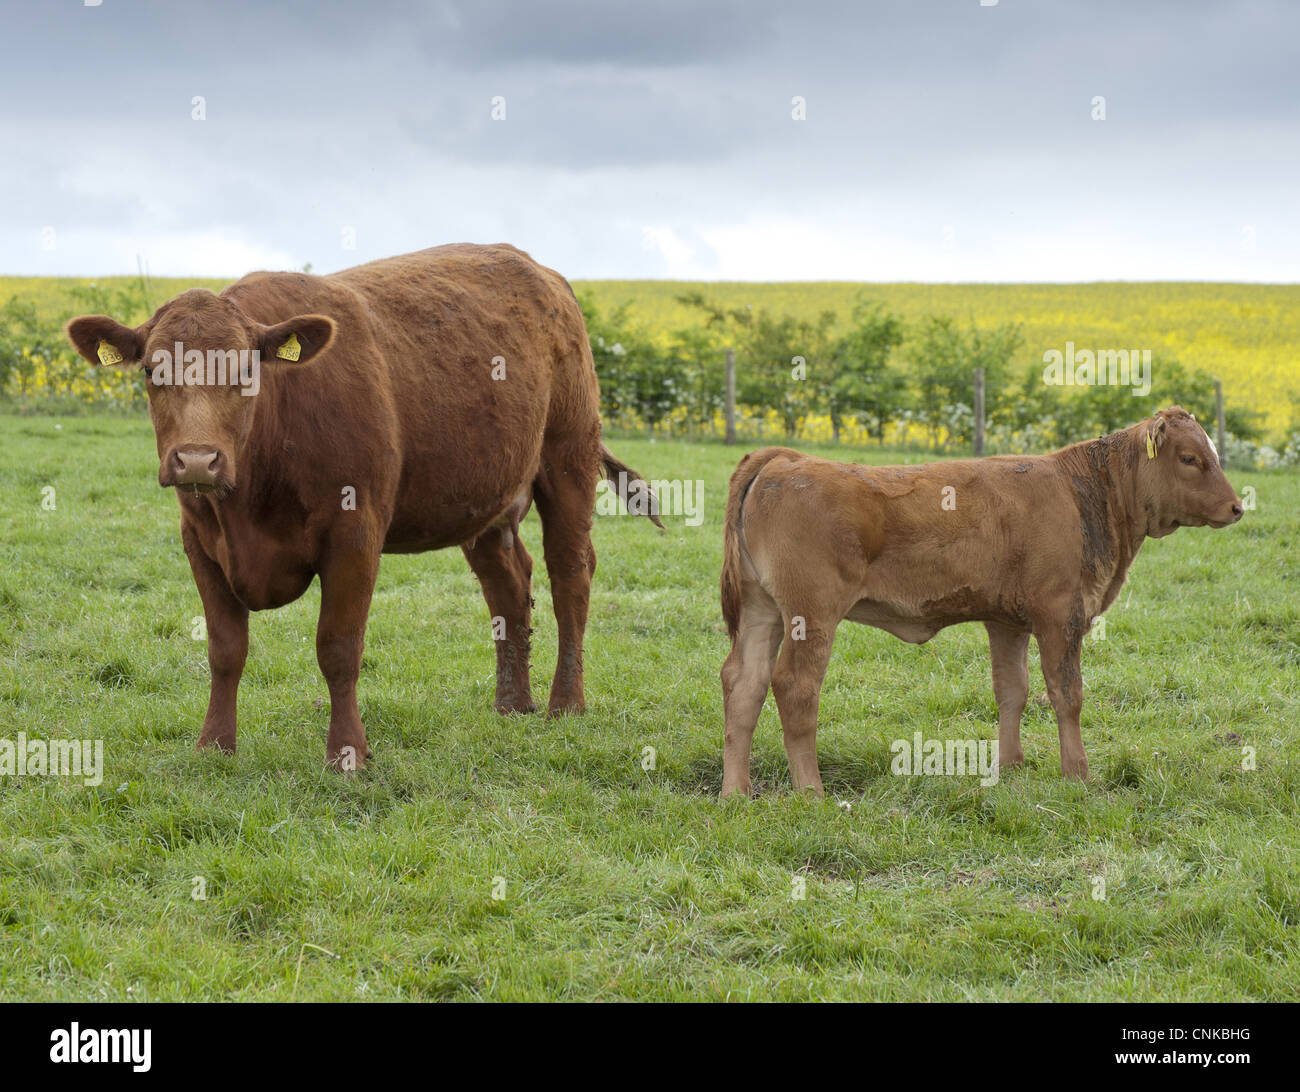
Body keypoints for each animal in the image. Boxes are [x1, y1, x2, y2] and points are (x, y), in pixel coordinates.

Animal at [66, 244, 660, 769]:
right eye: (151, 371)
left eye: (247, 371)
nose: (195, 460)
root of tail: (544, 273)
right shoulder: (201, 542)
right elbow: (225, 648)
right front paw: (214, 746)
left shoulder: (355, 534)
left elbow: (338, 648)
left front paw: (347, 754)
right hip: (486, 498)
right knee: (509, 585)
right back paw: (513, 704)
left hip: (568, 456)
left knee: (570, 575)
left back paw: (565, 704)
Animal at [718, 407, 1243, 797]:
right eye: (1190, 457)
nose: (1237, 507)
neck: (1083, 493)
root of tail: (786, 459)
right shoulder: (1060, 613)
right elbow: (1066, 693)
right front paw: (1077, 772)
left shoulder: (1008, 621)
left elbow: (1013, 690)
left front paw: (1010, 766)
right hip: (812, 614)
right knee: (795, 686)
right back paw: (811, 792)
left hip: (764, 611)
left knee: (744, 684)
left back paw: (736, 792)